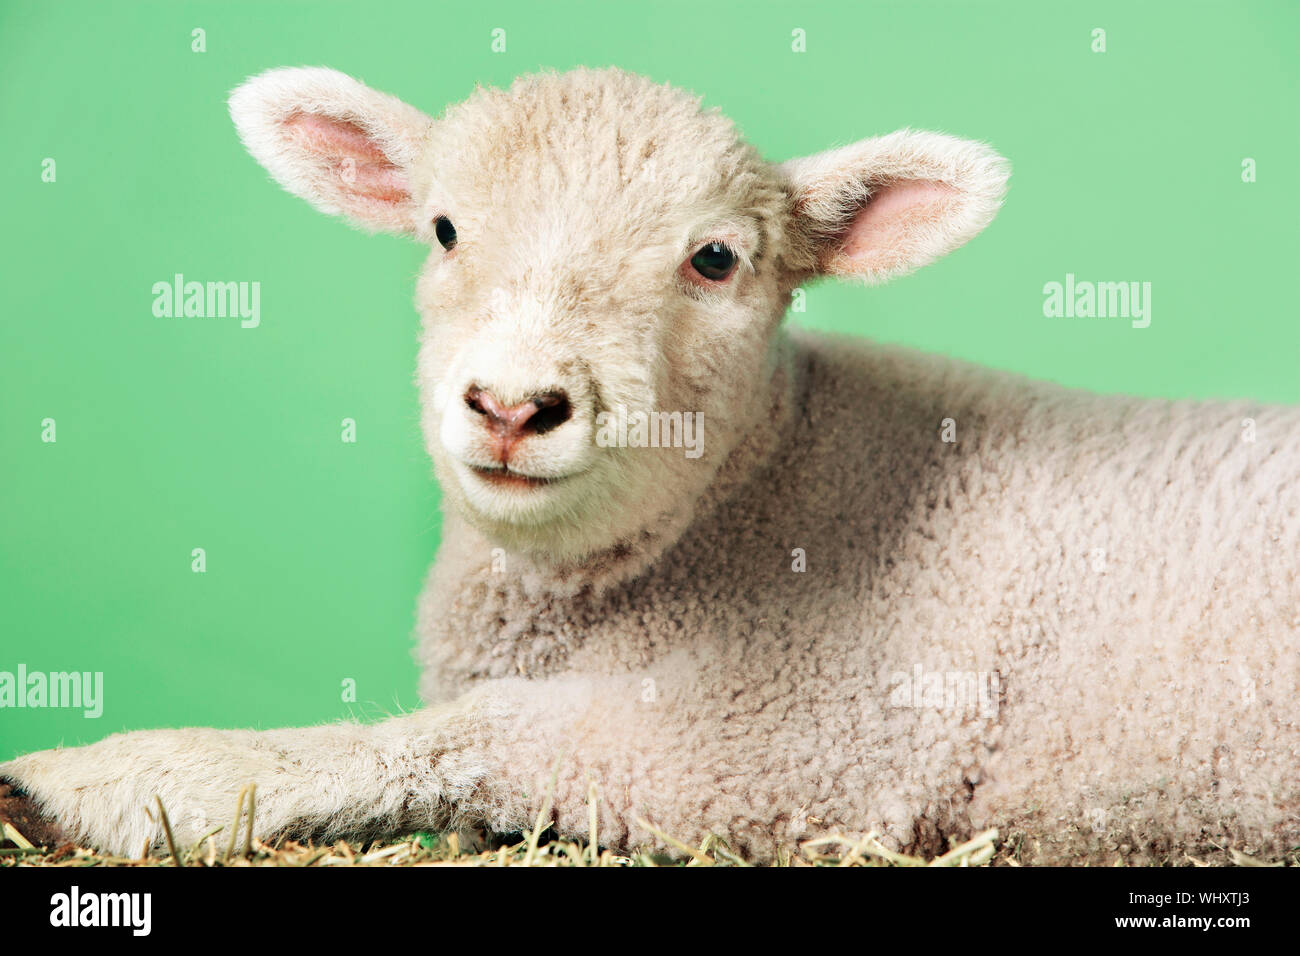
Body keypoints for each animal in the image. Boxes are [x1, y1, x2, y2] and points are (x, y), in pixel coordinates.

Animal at [2, 66, 1297, 865]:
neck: (757, 483)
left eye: (714, 259)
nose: (511, 404)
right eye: (444, 228)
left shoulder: (794, 736)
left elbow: (469, 734)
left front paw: (125, 775)